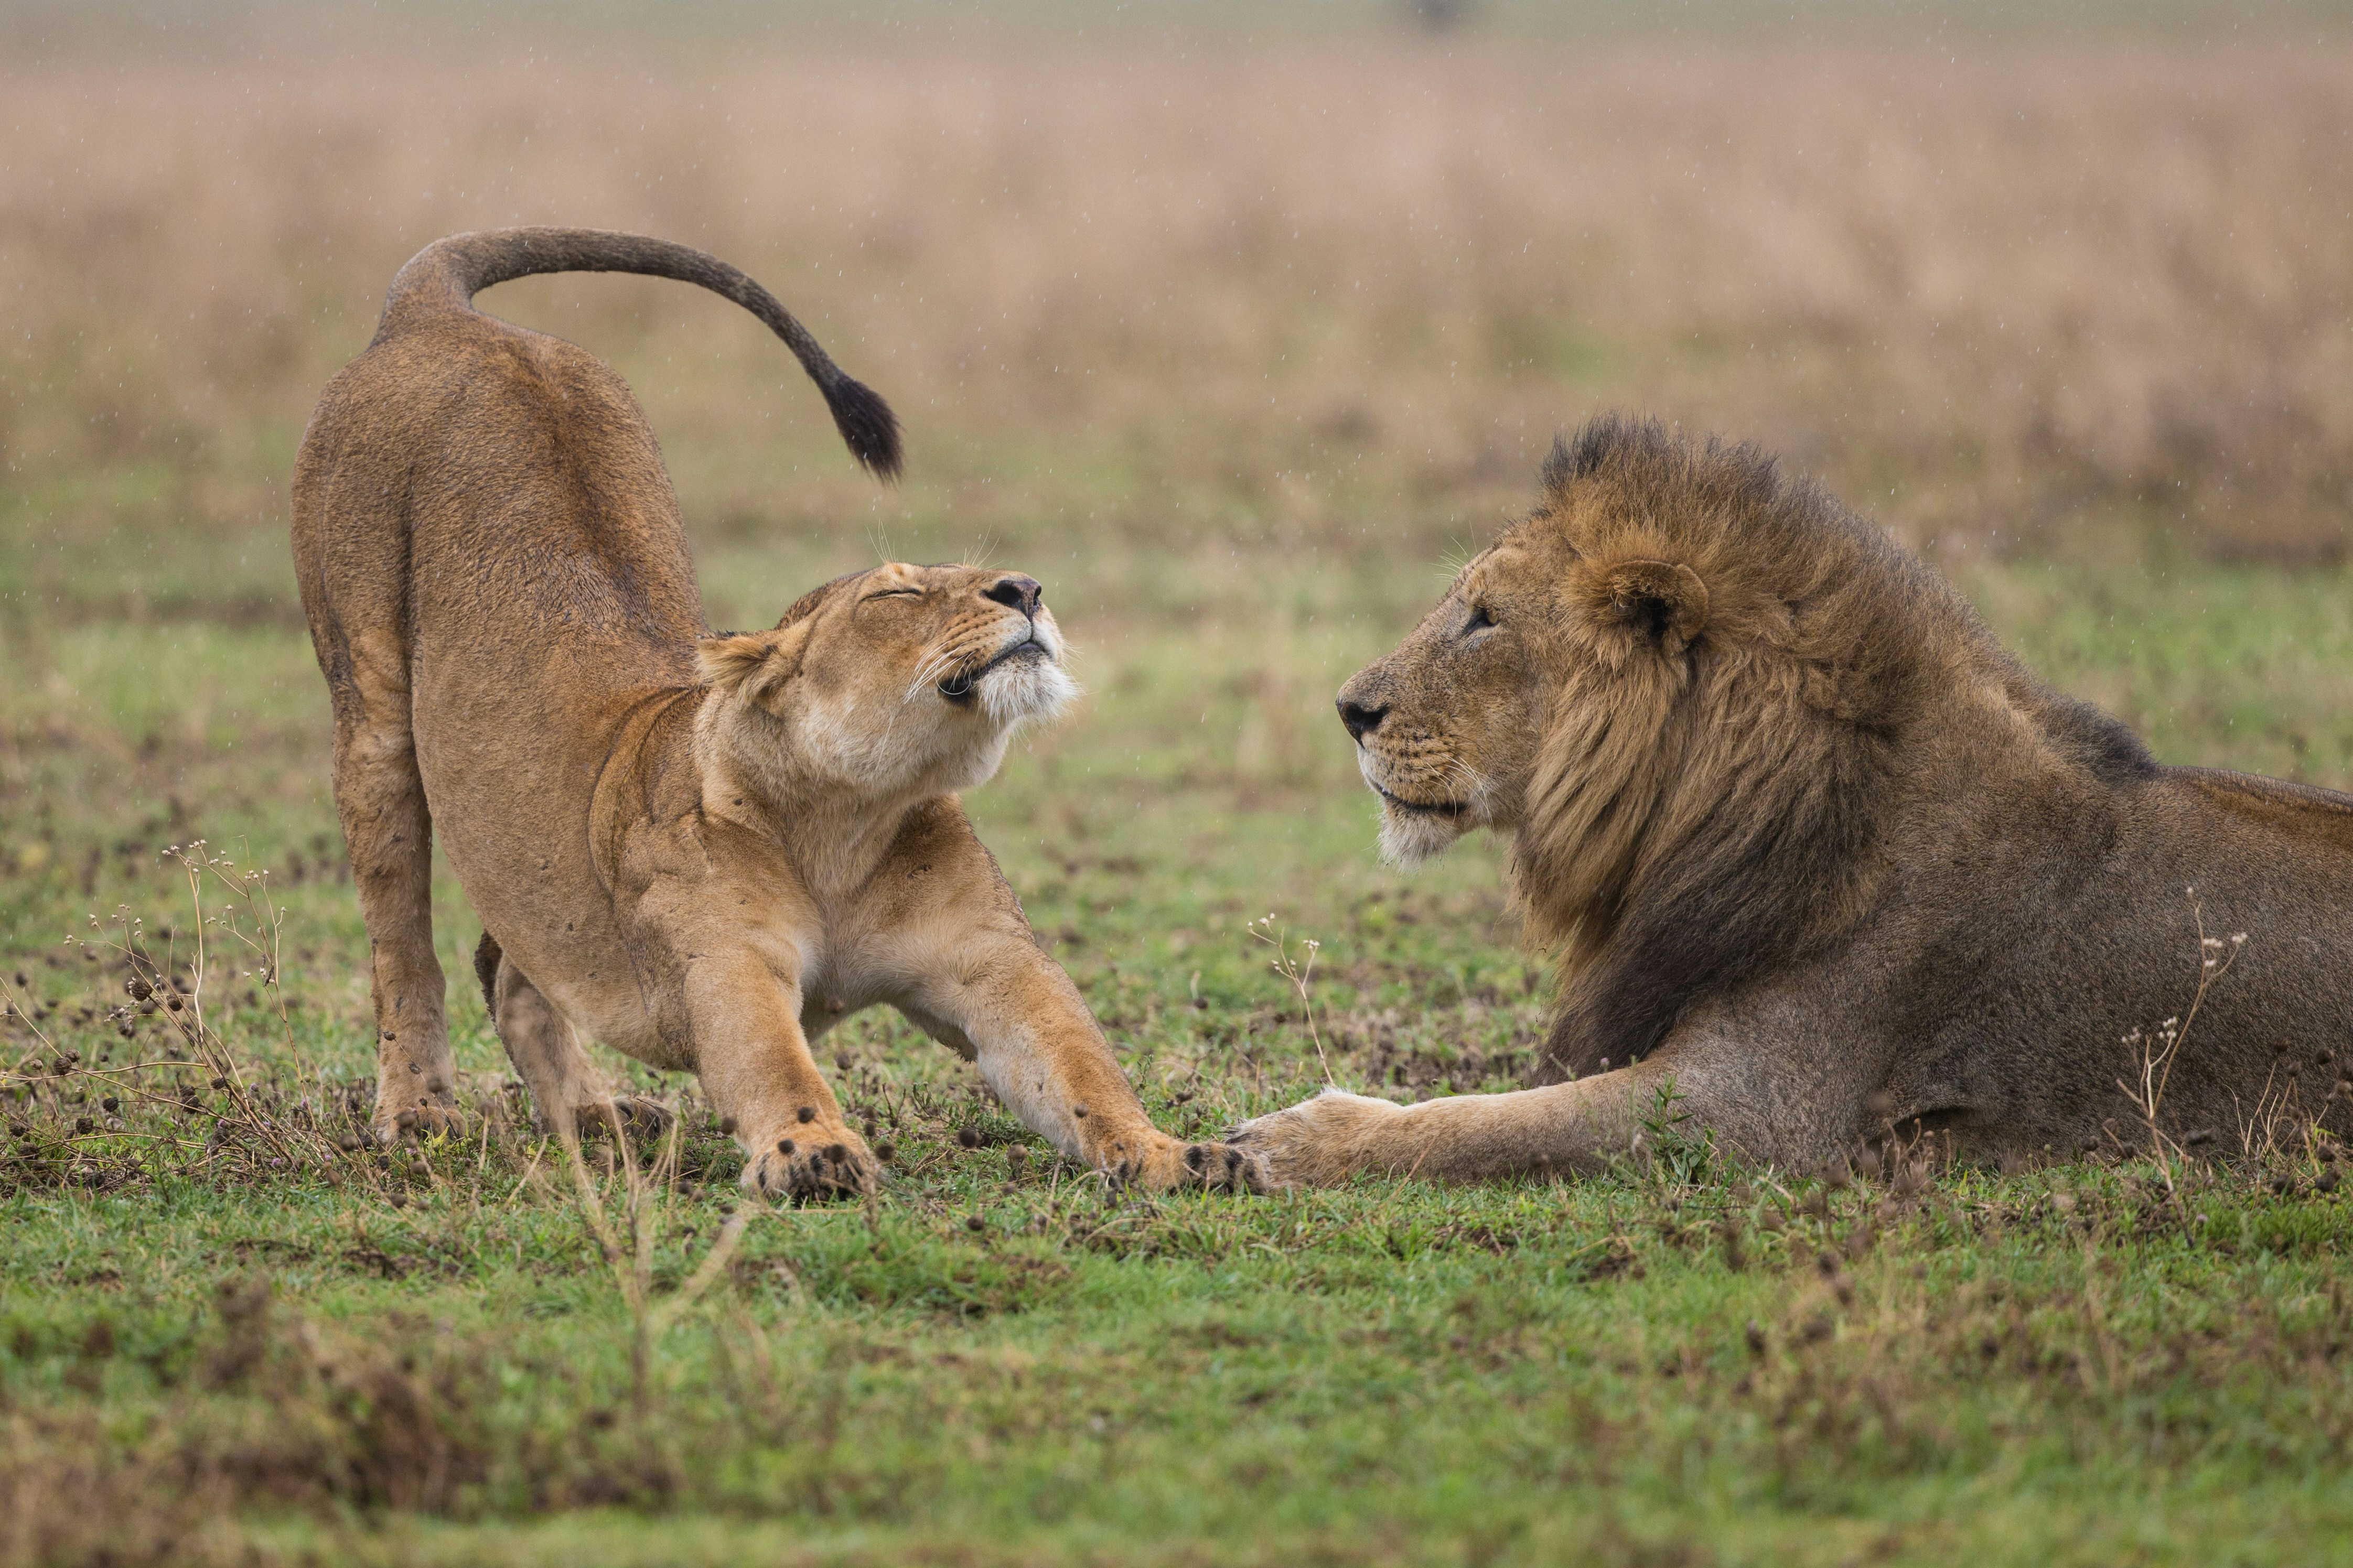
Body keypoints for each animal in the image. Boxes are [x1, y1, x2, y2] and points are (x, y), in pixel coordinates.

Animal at [292, 227, 1261, 1198]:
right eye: (899, 592)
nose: (1024, 587)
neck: (846, 824)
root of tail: (443, 316)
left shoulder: (992, 963)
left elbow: (1079, 1067)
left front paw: (1173, 1151)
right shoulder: (725, 963)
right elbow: (771, 1061)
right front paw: (814, 1149)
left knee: (510, 965)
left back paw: (594, 1114)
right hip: (370, 716)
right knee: (403, 947)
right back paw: (419, 1114)